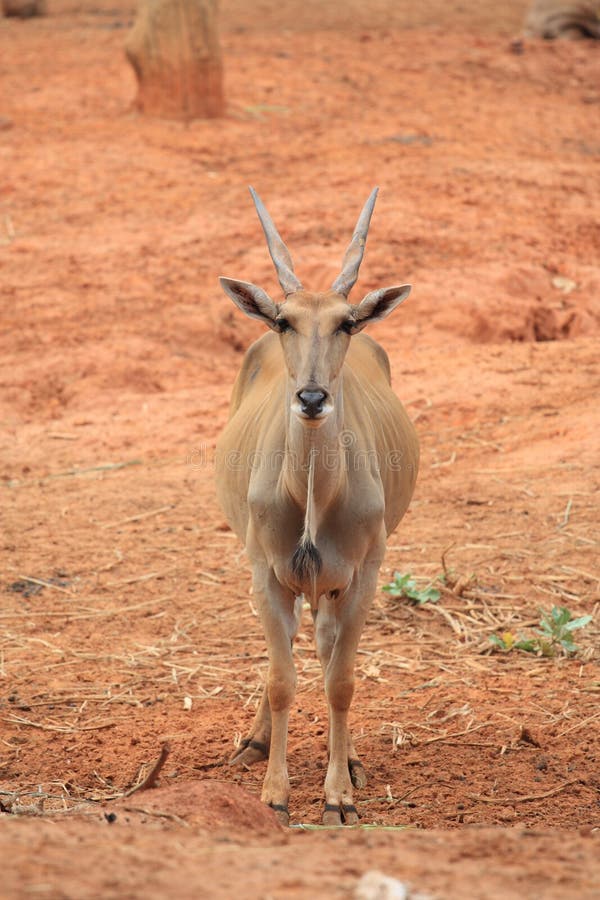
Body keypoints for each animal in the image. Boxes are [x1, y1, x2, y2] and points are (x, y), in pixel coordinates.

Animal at [215, 187, 419, 825]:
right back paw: (256, 743)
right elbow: (283, 679)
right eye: (285, 320)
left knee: (329, 653)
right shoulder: (267, 573)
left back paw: (348, 760)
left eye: (345, 322)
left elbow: (340, 682)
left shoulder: (362, 576)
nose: (311, 397)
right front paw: (276, 796)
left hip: (334, 586)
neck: (310, 494)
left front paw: (338, 797)